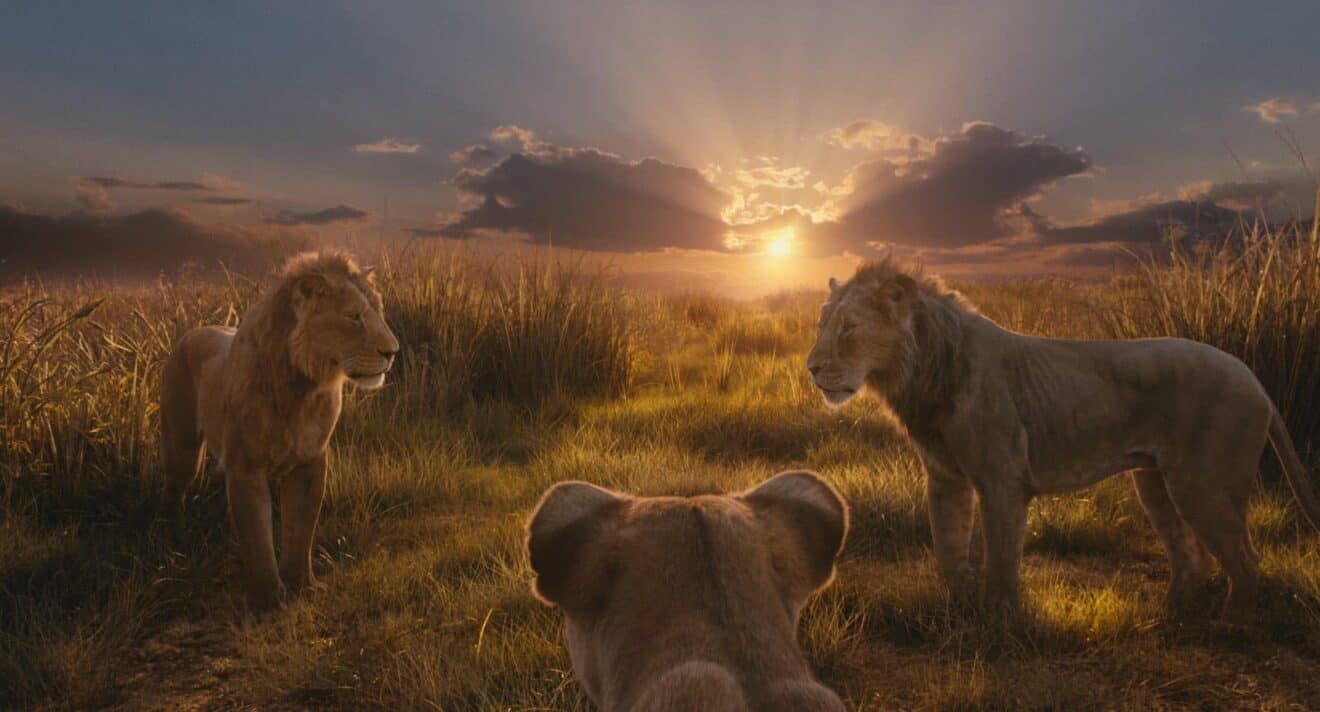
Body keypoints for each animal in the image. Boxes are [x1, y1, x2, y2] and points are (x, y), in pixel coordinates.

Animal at [158, 250, 399, 611]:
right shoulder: (245, 468)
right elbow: (258, 539)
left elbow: (300, 531)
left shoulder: (310, 462)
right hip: (182, 449)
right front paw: (269, 599)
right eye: (354, 316)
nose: (392, 352)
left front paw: (303, 586)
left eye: (378, 312)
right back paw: (176, 546)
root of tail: (190, 333)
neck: (301, 388)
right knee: (173, 493)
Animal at [806, 258, 1320, 624]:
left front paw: (999, 624)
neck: (922, 372)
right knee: (1192, 553)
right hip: (1155, 482)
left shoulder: (1003, 481)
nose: (811, 368)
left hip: (1203, 486)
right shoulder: (945, 478)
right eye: (820, 324)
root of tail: (1255, 380)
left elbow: (1001, 559)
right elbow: (948, 551)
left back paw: (1231, 627)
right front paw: (957, 615)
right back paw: (1172, 615)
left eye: (848, 327)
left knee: (1245, 560)